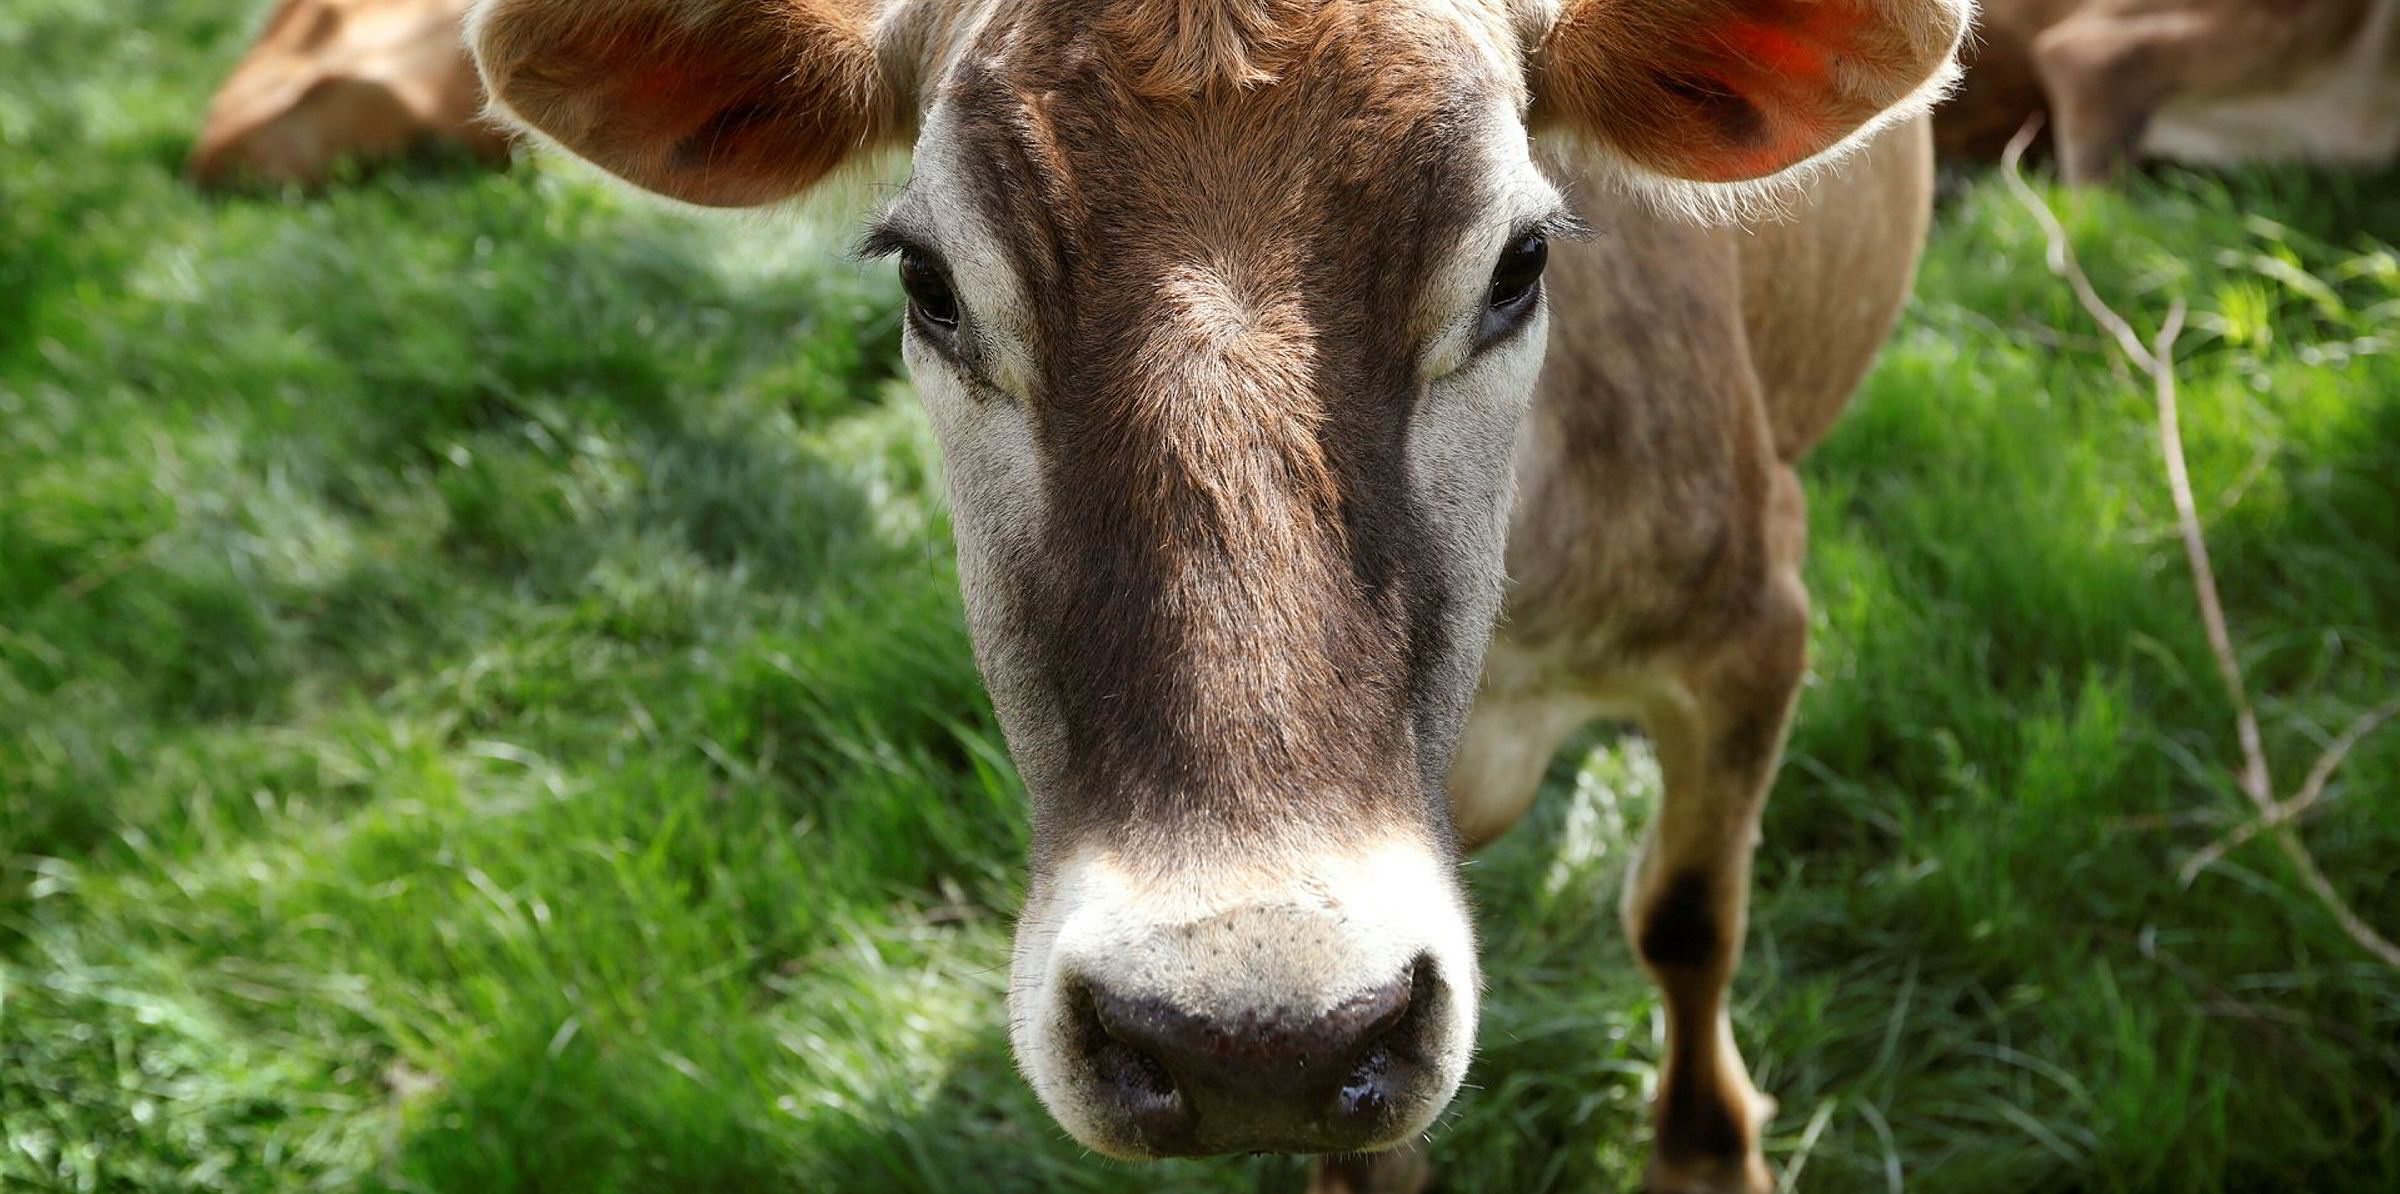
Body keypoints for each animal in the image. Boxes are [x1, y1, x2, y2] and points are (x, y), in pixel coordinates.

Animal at [465, 1, 1970, 1190]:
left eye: (1522, 262)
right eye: (928, 278)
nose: (1252, 1040)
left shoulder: (1753, 629)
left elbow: (1687, 915)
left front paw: (1709, 1153)